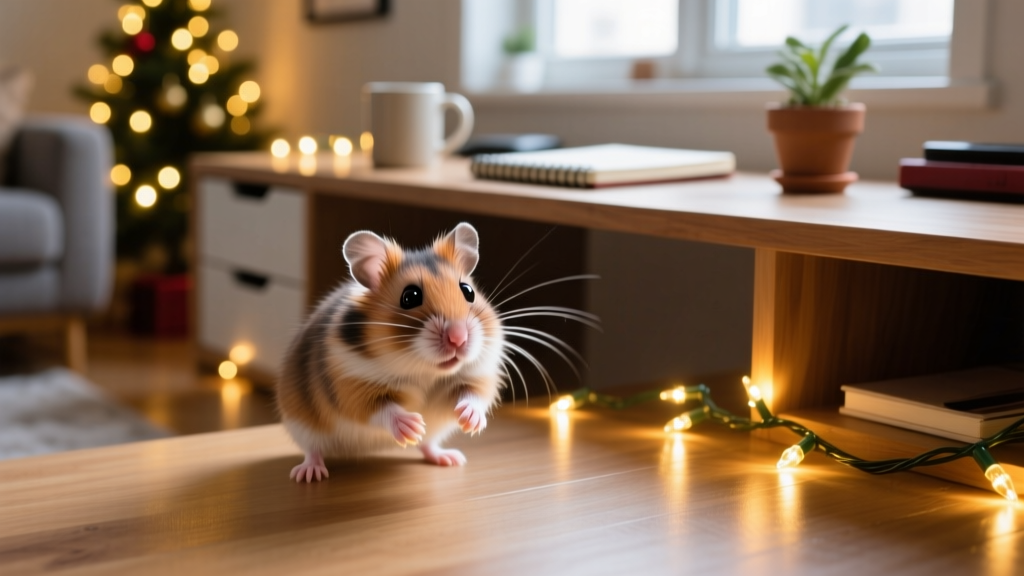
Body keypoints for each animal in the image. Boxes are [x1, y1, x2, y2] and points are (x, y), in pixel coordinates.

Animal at [277, 222, 505, 482]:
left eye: (468, 291)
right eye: (410, 296)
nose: (458, 338)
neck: (423, 369)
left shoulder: (479, 374)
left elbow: (475, 394)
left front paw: (471, 422)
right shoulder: (350, 385)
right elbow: (380, 408)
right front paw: (412, 427)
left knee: (428, 445)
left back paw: (450, 458)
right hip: (302, 424)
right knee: (312, 449)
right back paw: (309, 474)